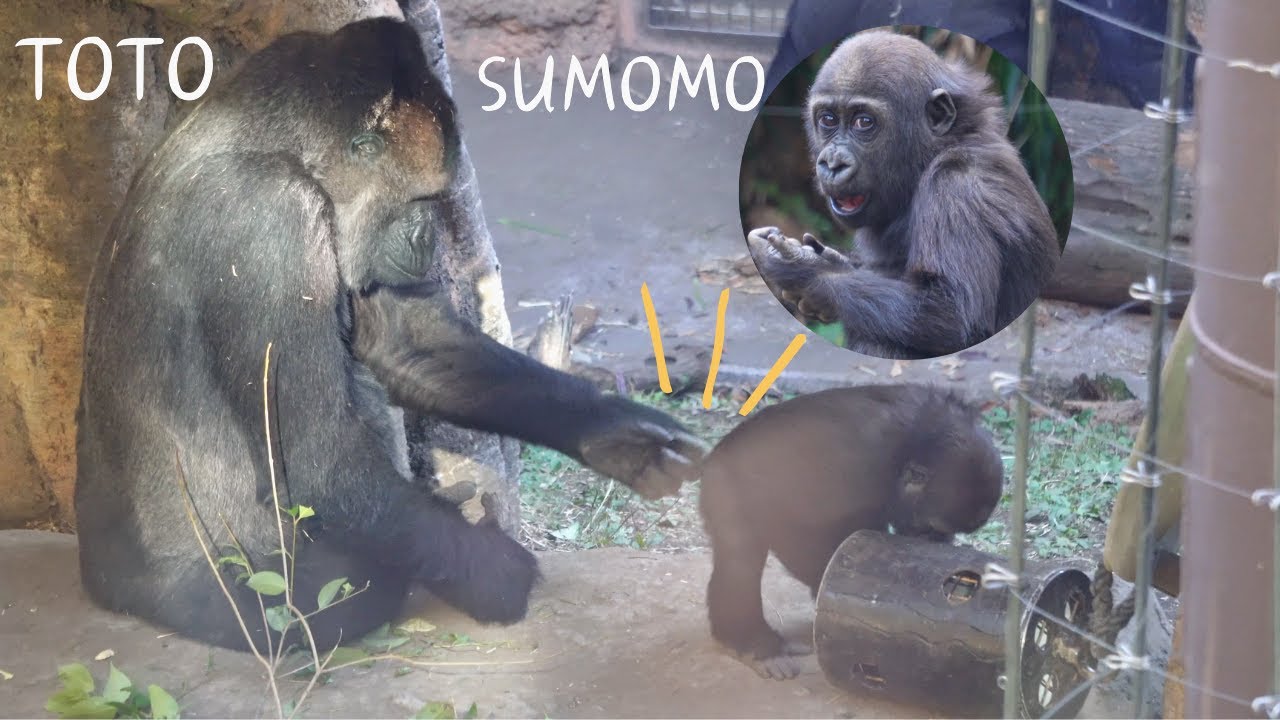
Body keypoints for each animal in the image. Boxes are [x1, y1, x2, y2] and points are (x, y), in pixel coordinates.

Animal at [74, 17, 705, 653]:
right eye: (420, 199)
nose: (428, 237)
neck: (278, 144)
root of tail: (107, 583)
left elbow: (407, 345)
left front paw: (617, 433)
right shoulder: (270, 220)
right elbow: (316, 460)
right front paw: (494, 571)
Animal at [698, 384, 1003, 679]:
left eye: (940, 533)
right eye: (930, 527)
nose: (934, 539)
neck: (911, 446)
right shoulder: (858, 468)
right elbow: (800, 530)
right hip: (723, 486)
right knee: (740, 560)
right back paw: (753, 642)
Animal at [747, 29, 1063, 360]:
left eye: (864, 122)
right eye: (828, 120)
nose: (833, 163)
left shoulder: (956, 188)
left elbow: (949, 310)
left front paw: (806, 271)